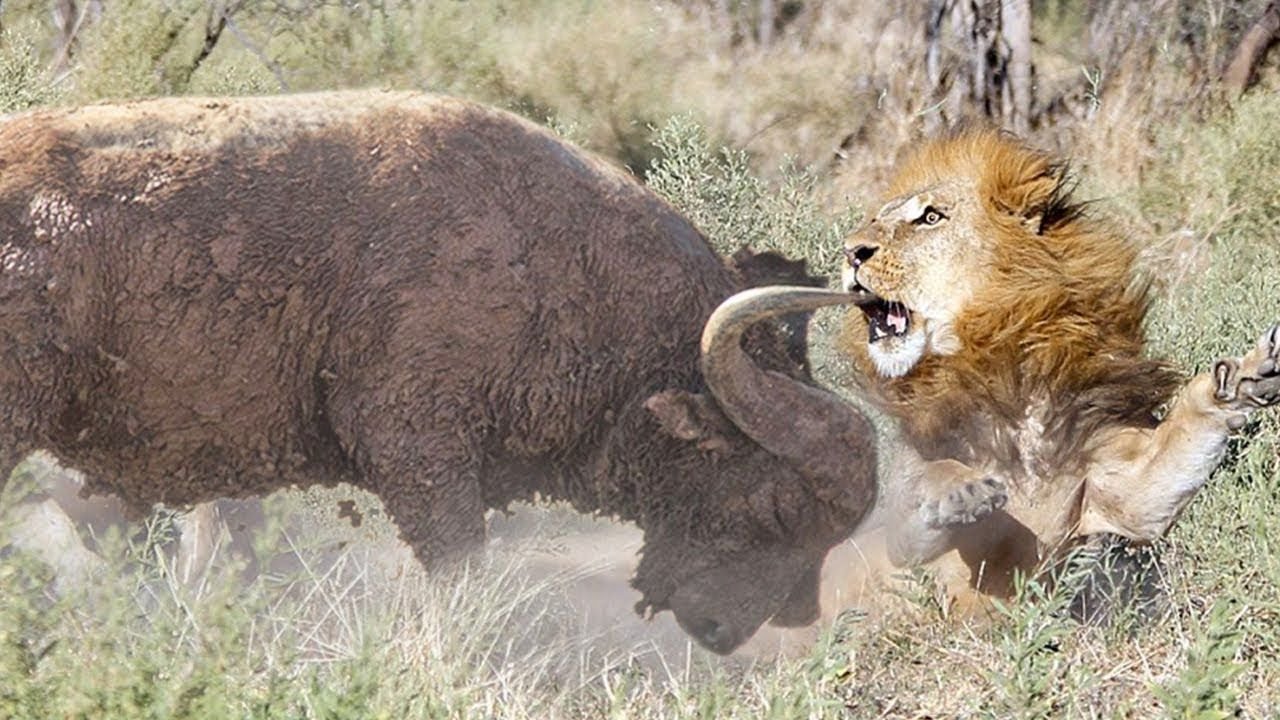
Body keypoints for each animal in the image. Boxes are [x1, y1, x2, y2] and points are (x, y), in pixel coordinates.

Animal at [828, 128, 1279, 616]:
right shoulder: (896, 535)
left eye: (930, 217)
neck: (1001, 358)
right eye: (875, 219)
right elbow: (931, 478)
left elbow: (1178, 444)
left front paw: (1240, 378)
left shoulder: (1119, 488)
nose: (851, 252)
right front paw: (961, 492)